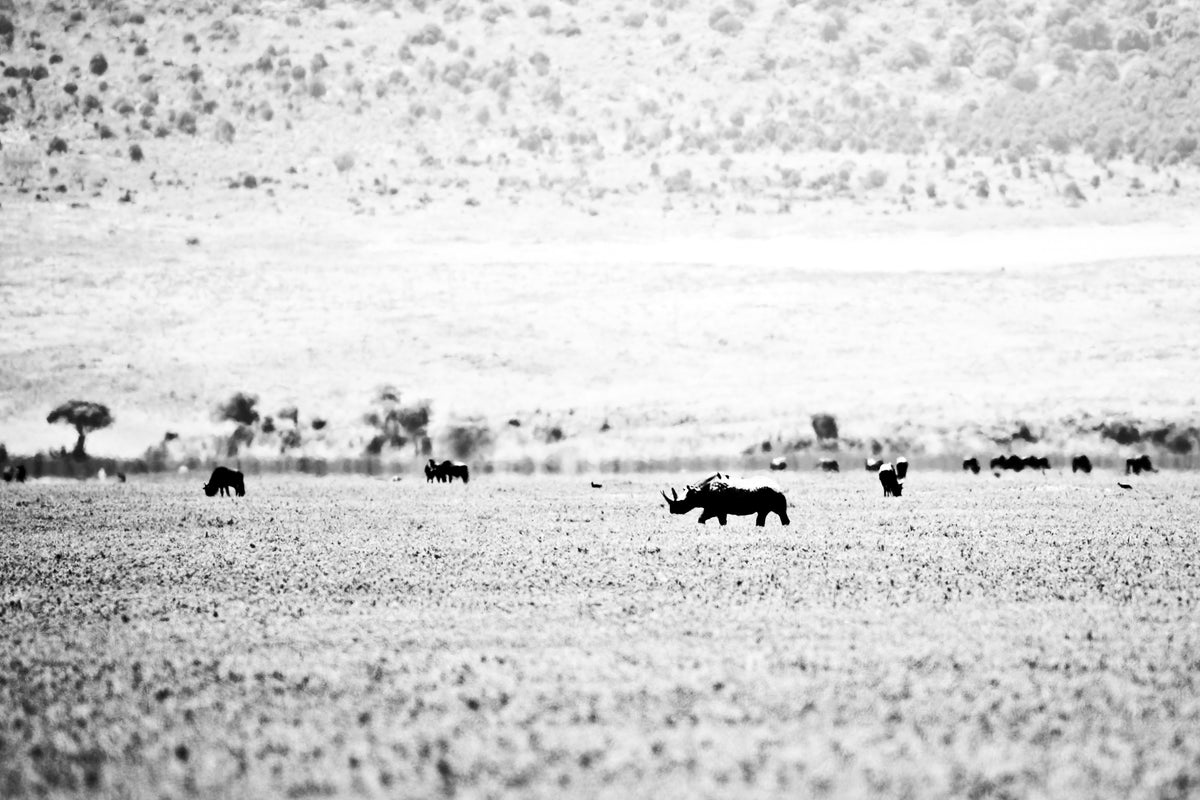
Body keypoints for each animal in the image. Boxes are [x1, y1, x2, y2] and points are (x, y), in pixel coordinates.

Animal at [661, 474, 789, 527]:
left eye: (683, 503)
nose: (672, 511)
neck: (698, 492)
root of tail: (779, 487)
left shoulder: (714, 509)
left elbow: (702, 518)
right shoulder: (716, 509)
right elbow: (721, 522)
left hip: (773, 494)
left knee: (777, 512)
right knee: (763, 514)